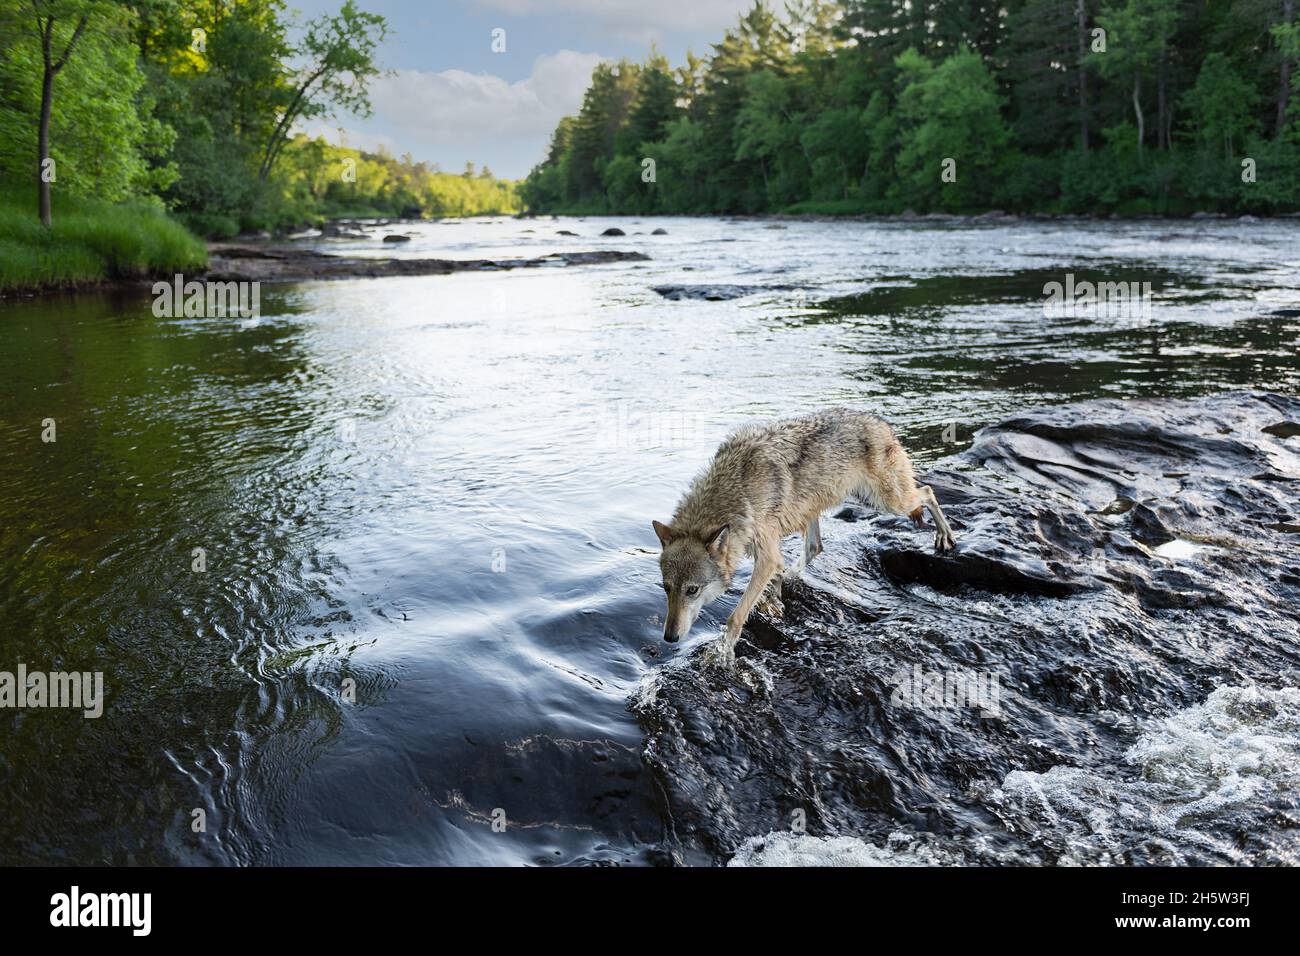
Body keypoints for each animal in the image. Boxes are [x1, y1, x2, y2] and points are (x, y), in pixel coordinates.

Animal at [652, 408, 956, 662]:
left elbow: (735, 616)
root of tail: (880, 422)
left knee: (927, 491)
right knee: (814, 548)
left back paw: (945, 536)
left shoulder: (766, 555)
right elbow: (775, 574)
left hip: (888, 501)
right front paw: (771, 597)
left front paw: (722, 653)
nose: (669, 637)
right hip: (819, 508)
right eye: (667, 588)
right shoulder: (768, 551)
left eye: (692, 590)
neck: (737, 491)